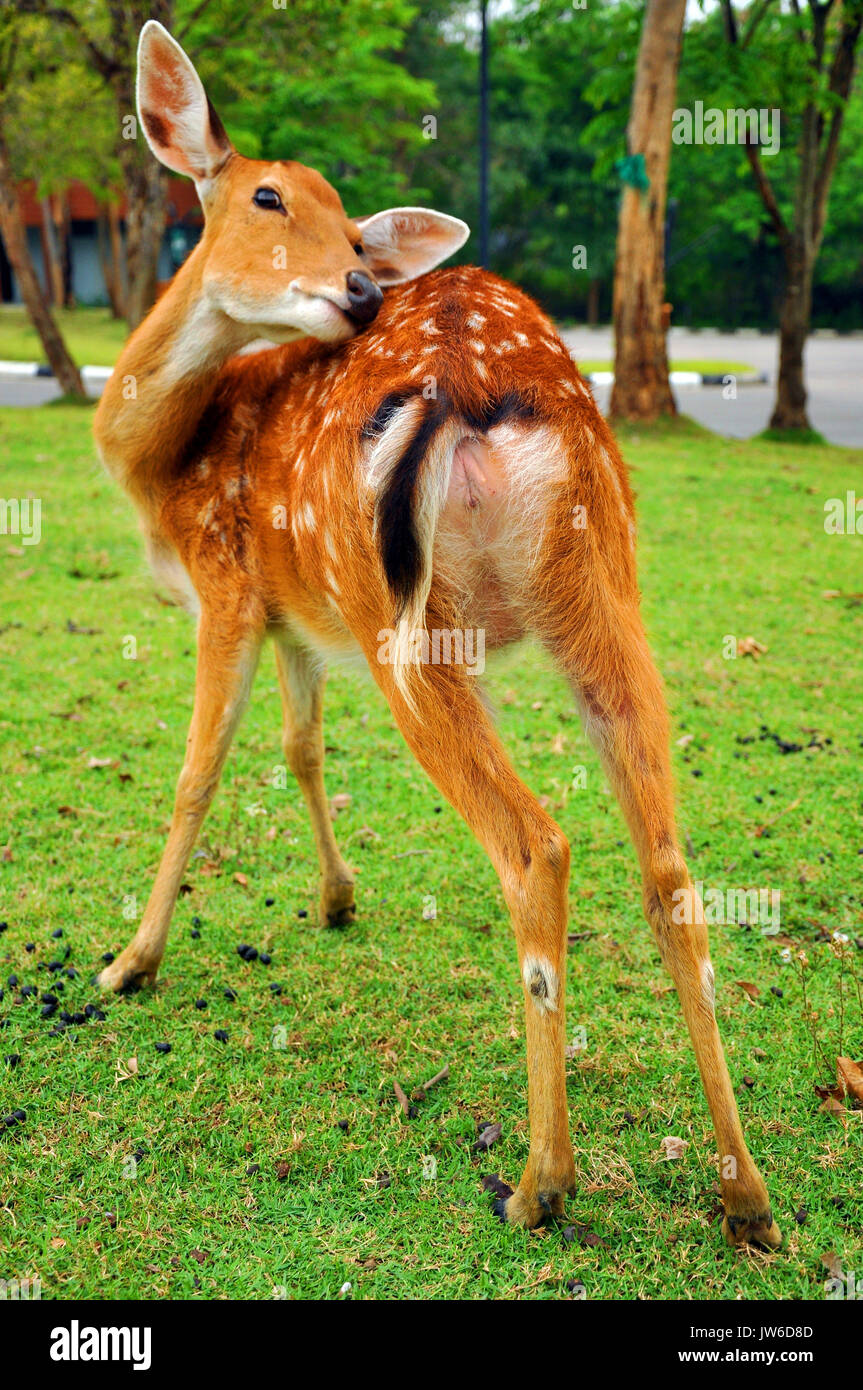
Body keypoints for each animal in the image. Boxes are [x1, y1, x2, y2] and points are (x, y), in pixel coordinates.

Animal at [92, 20, 781, 1249]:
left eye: (350, 222)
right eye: (269, 196)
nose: (363, 285)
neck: (163, 470)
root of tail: (469, 386)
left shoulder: (230, 589)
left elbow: (197, 772)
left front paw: (129, 963)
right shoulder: (299, 620)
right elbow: (299, 748)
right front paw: (336, 899)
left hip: (406, 629)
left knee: (536, 844)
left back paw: (539, 1181)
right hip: (601, 584)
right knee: (666, 861)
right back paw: (741, 1192)